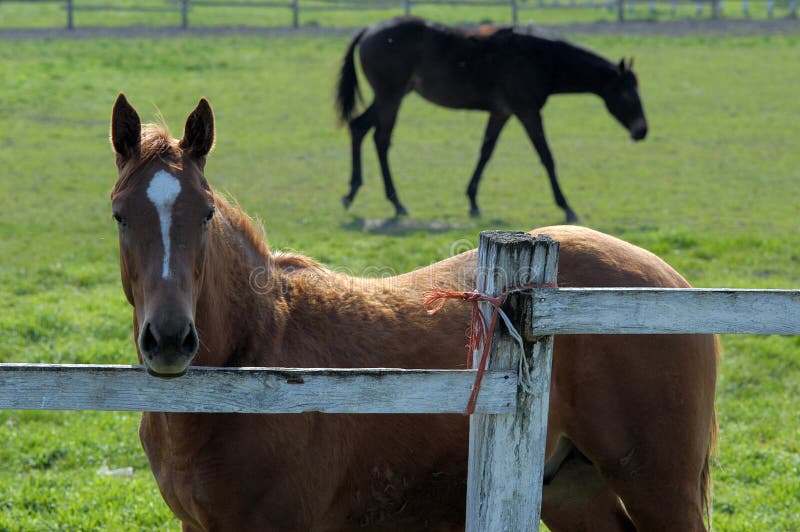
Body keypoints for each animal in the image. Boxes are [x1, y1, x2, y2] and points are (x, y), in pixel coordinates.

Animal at [110, 94, 715, 531]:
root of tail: (669, 280)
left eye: (206, 212)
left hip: (661, 491)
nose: (170, 339)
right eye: (120, 215)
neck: (257, 361)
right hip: (569, 491)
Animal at [336, 17, 649, 222]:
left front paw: (473, 201)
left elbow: (486, 152)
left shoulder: (501, 113)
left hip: (389, 96)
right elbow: (546, 156)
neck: (539, 57)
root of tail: (369, 30)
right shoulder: (527, 111)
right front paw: (566, 207)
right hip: (391, 96)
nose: (642, 130)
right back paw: (396, 202)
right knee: (381, 140)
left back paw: (352, 192)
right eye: (627, 94)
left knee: (359, 128)